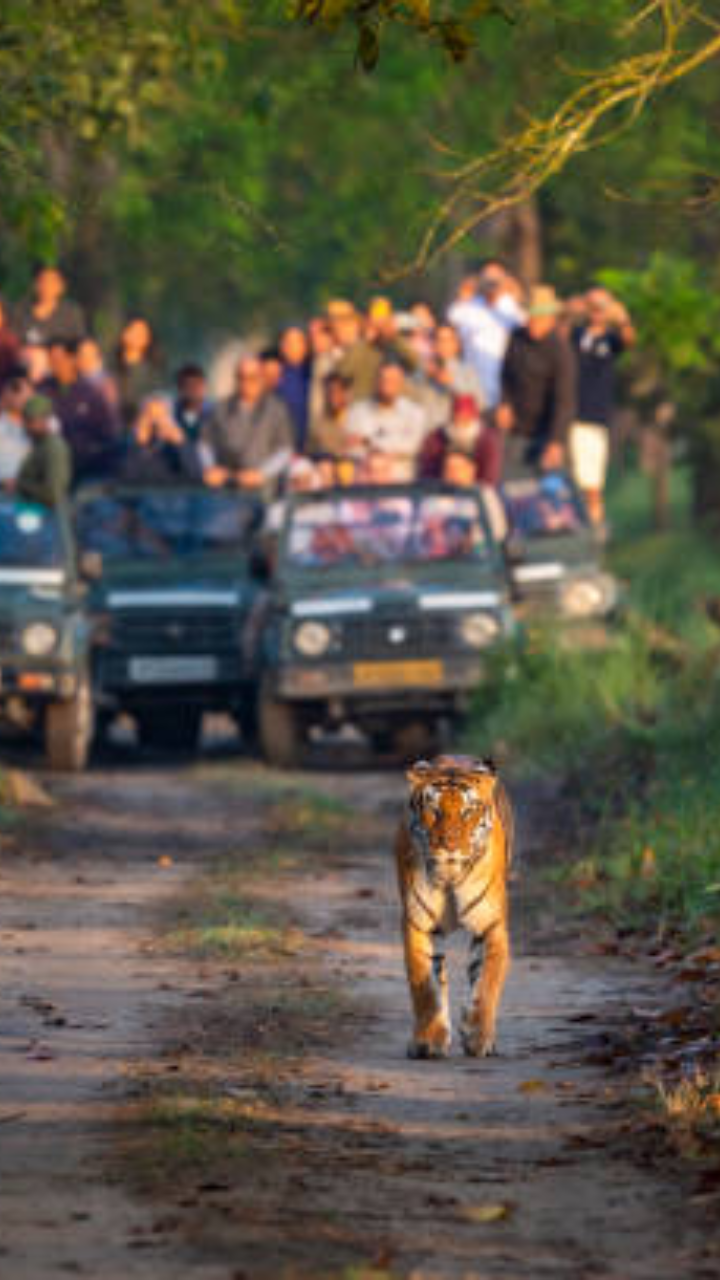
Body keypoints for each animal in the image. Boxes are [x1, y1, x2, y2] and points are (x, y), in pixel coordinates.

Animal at [394, 754, 514, 1060]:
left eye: (467, 812)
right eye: (433, 810)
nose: (448, 844)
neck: (450, 875)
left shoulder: (490, 925)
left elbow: (487, 981)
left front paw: (478, 1036)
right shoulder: (418, 923)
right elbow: (425, 985)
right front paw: (429, 1040)